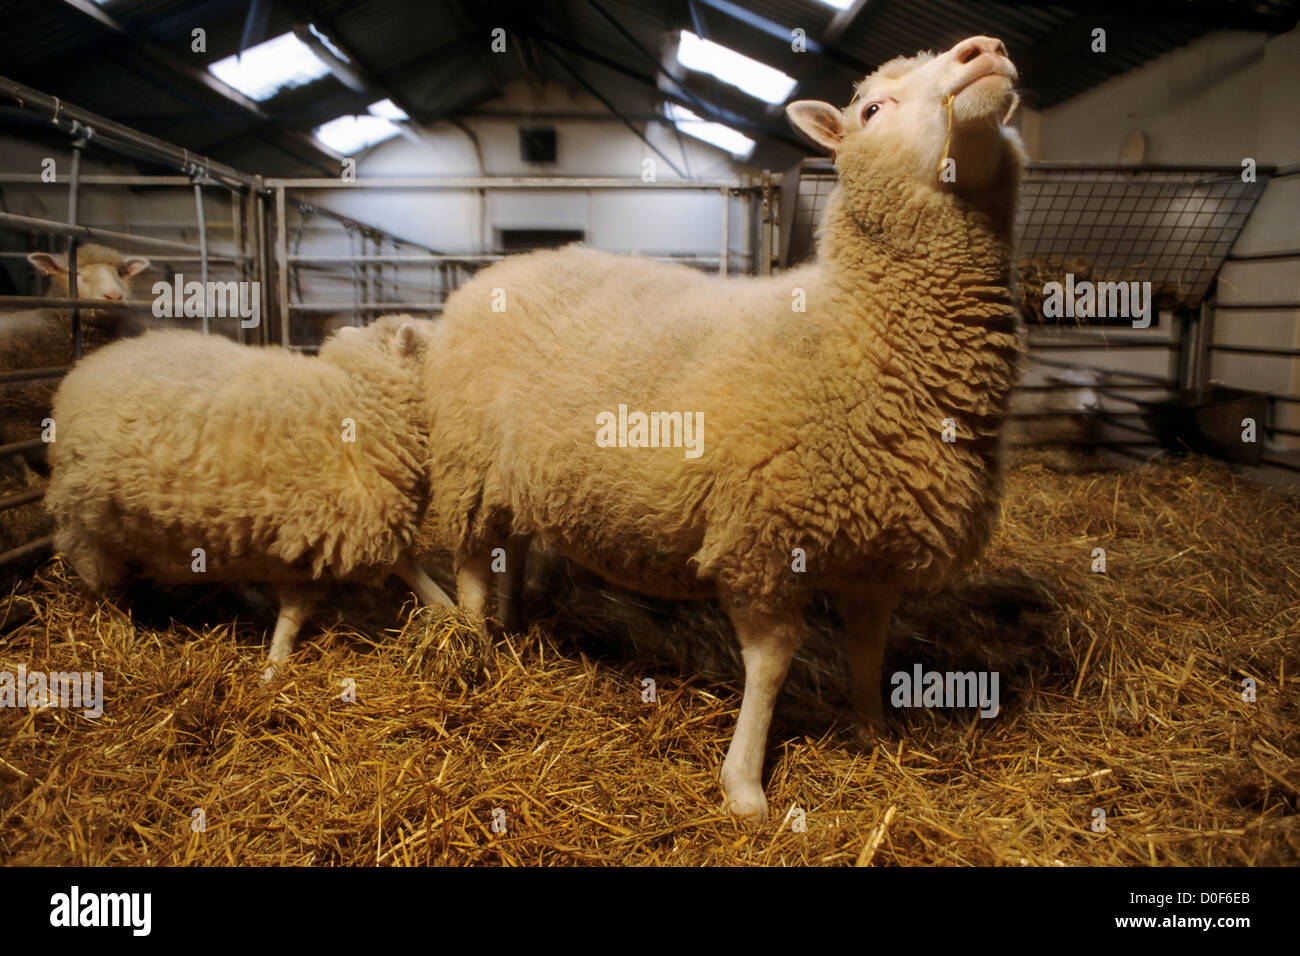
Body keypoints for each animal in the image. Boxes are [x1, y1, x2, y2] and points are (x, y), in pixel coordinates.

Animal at [44, 315, 452, 678]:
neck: (360, 403)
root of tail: (80, 372)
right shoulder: (310, 534)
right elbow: (293, 615)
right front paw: (273, 670)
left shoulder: (358, 522)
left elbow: (407, 565)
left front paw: (446, 607)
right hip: (88, 531)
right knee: (105, 591)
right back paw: (122, 630)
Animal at [420, 36, 1027, 821]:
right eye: (871, 108)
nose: (984, 51)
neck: (851, 334)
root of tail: (501, 270)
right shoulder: (760, 538)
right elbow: (770, 664)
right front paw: (745, 787)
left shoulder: (876, 552)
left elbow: (869, 648)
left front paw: (873, 733)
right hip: (468, 457)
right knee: (469, 560)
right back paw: (474, 641)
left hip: (517, 471)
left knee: (514, 545)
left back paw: (516, 619)